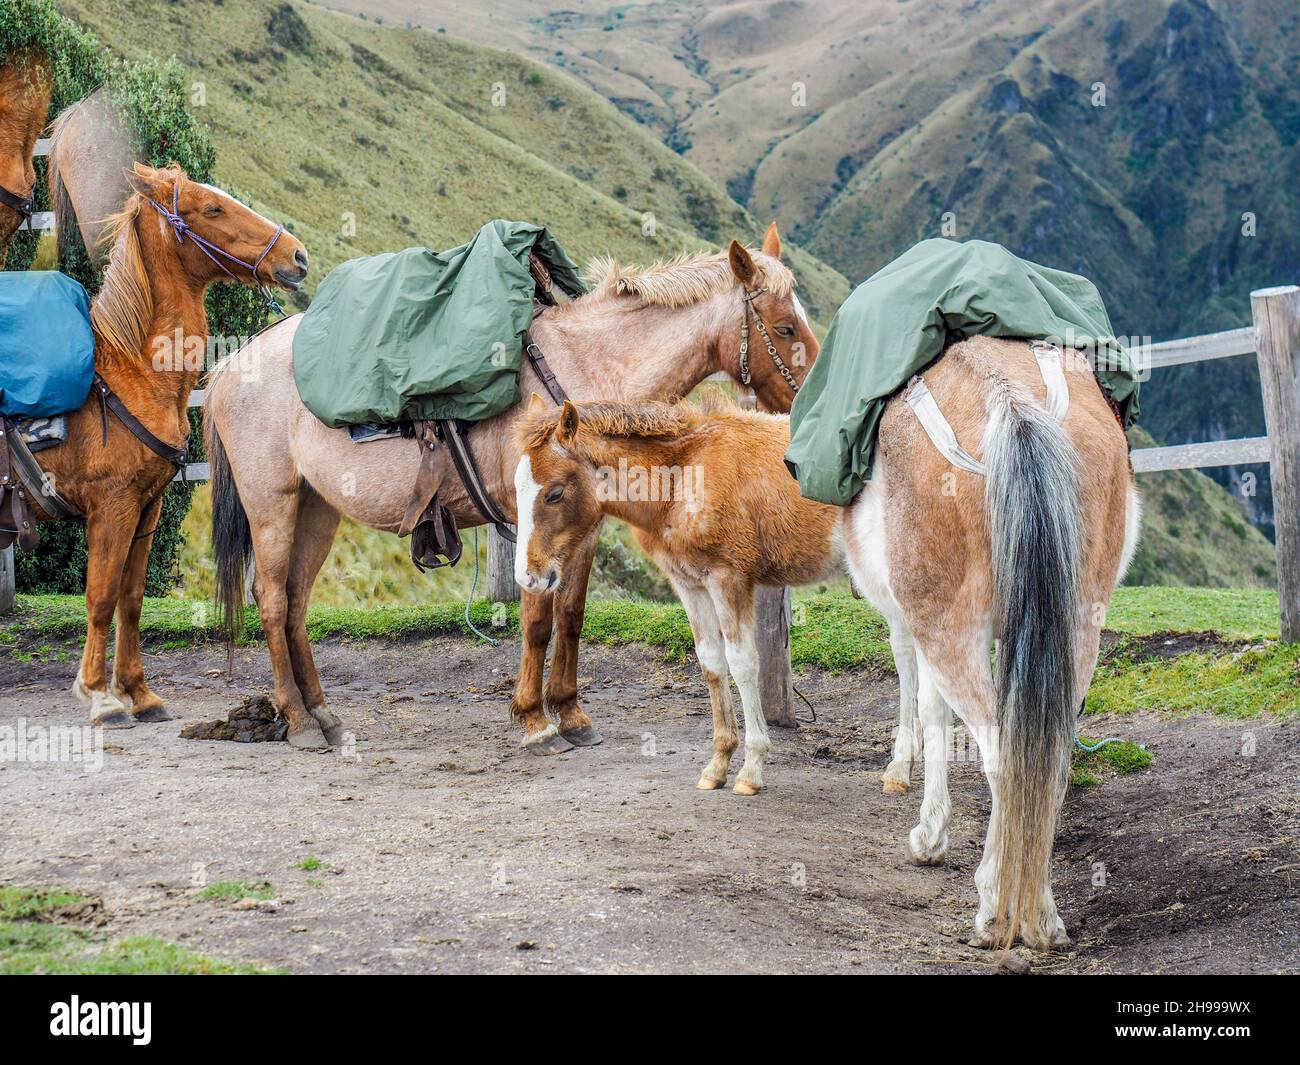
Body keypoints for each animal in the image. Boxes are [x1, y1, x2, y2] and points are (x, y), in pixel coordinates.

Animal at [25, 162, 308, 727]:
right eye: (212, 208)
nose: (297, 256)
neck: (130, 372)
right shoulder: (111, 506)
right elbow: (101, 596)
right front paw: (99, 696)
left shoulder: (146, 506)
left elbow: (130, 598)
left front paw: (139, 693)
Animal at [204, 228, 818, 751]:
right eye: (786, 328)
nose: (811, 406)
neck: (583, 371)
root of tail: (231, 364)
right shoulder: (527, 522)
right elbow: (537, 620)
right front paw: (534, 719)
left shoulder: (584, 529)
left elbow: (571, 615)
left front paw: (571, 713)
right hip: (272, 504)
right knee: (272, 598)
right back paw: (300, 720)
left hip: (316, 509)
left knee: (296, 602)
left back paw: (323, 713)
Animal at [515, 336, 1139, 950]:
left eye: (554, 492)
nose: (531, 578)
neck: (688, 468)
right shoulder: (688, 583)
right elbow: (711, 665)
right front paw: (717, 764)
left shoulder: (730, 580)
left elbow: (744, 664)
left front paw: (751, 768)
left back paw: (994, 901)